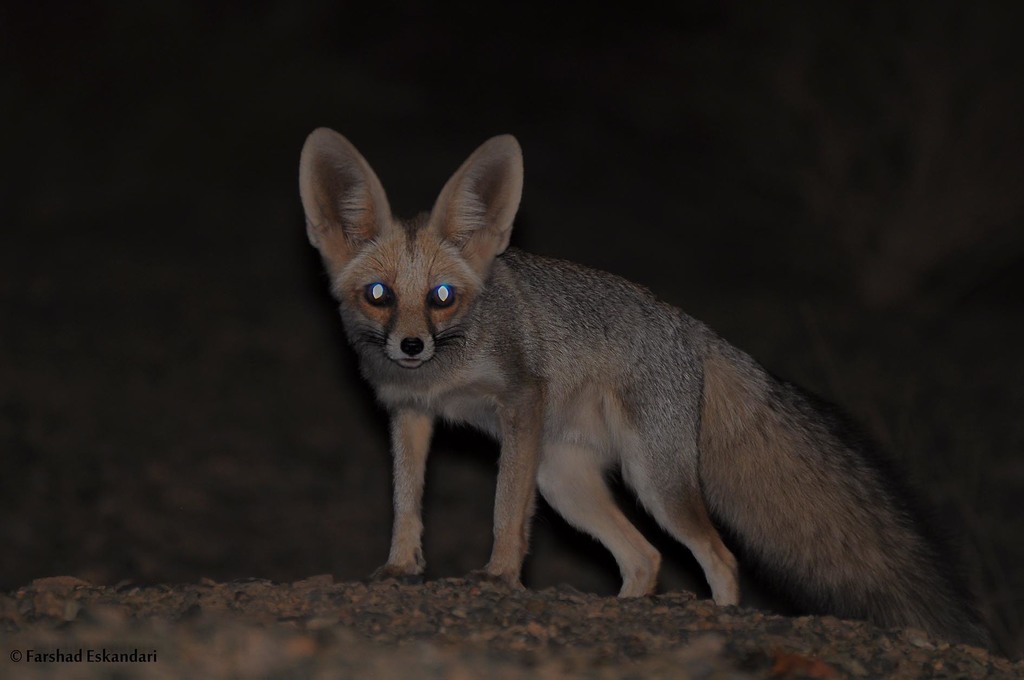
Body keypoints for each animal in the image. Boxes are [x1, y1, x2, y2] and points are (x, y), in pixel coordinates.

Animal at [297, 128, 988, 646]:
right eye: (379, 295)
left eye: (442, 296)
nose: (411, 346)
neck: (446, 370)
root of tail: (692, 326)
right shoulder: (410, 413)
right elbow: (406, 502)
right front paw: (399, 567)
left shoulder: (521, 400)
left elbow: (504, 511)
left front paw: (498, 576)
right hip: (565, 482)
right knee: (646, 559)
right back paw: (626, 609)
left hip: (653, 481)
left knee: (718, 558)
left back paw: (720, 618)